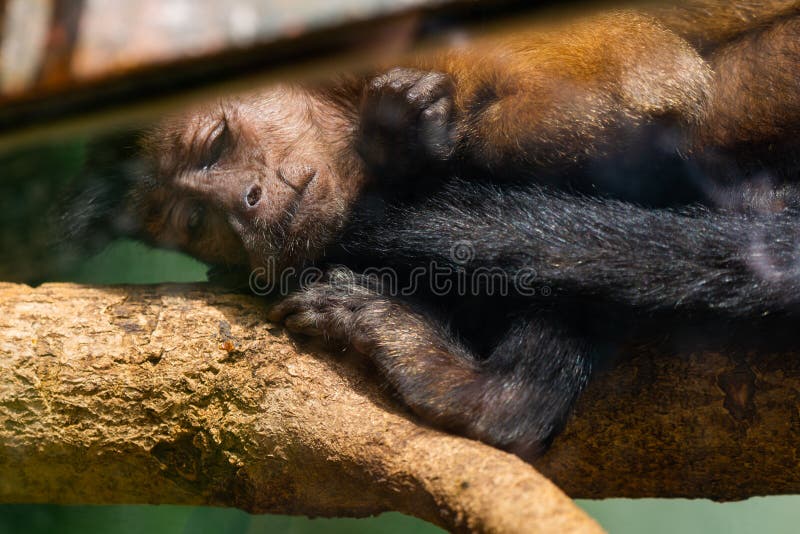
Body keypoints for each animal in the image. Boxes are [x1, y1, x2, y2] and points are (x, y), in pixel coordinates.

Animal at [61, 2, 800, 457]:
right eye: (196, 219)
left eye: (216, 144)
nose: (244, 205)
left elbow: (651, 88)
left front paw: (402, 149)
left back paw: (495, 400)